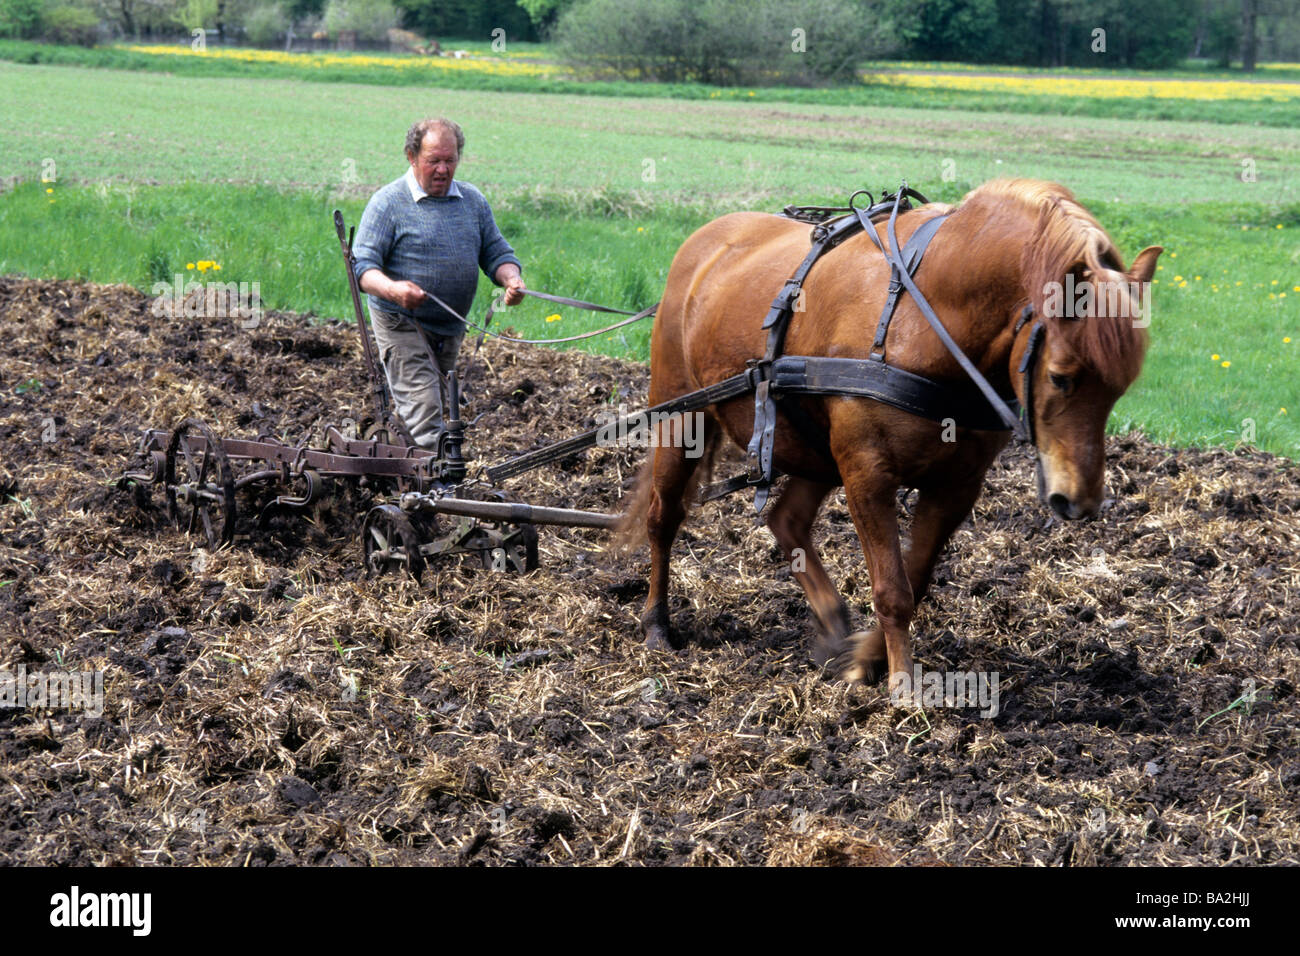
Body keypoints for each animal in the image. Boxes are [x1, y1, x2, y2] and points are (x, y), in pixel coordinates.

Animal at [622, 178, 1161, 697]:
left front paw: (865, 658)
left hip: (816, 449)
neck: (927, 314)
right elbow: (893, 590)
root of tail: (704, 243)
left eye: (1121, 386)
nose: (1080, 502)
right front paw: (902, 686)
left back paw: (833, 628)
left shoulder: (956, 485)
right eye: (1060, 377)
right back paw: (657, 626)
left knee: (786, 521)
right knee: (662, 519)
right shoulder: (868, 474)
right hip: (680, 417)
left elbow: (916, 580)